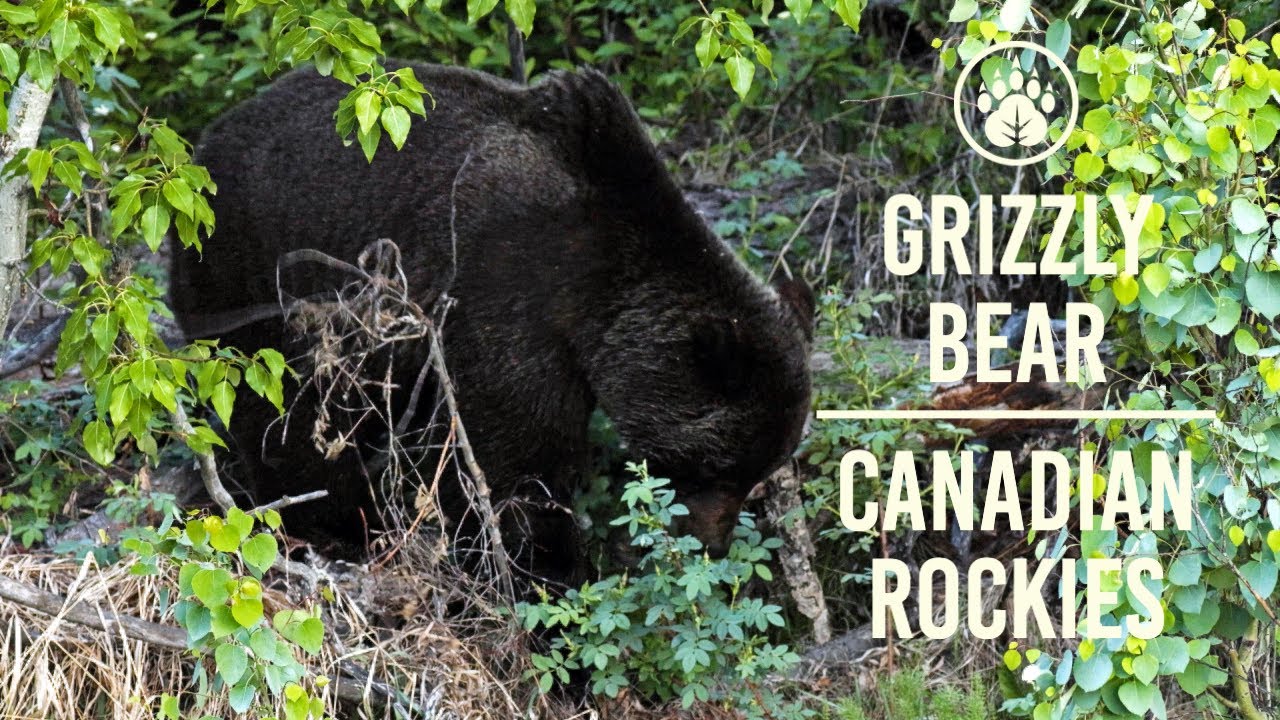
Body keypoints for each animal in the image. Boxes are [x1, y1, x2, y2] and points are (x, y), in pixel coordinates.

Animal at [169, 62, 814, 583]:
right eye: (719, 464)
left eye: (760, 470)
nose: (711, 542)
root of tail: (202, 143)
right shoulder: (507, 291)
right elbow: (513, 464)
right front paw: (545, 572)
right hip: (250, 274)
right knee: (282, 408)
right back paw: (330, 524)